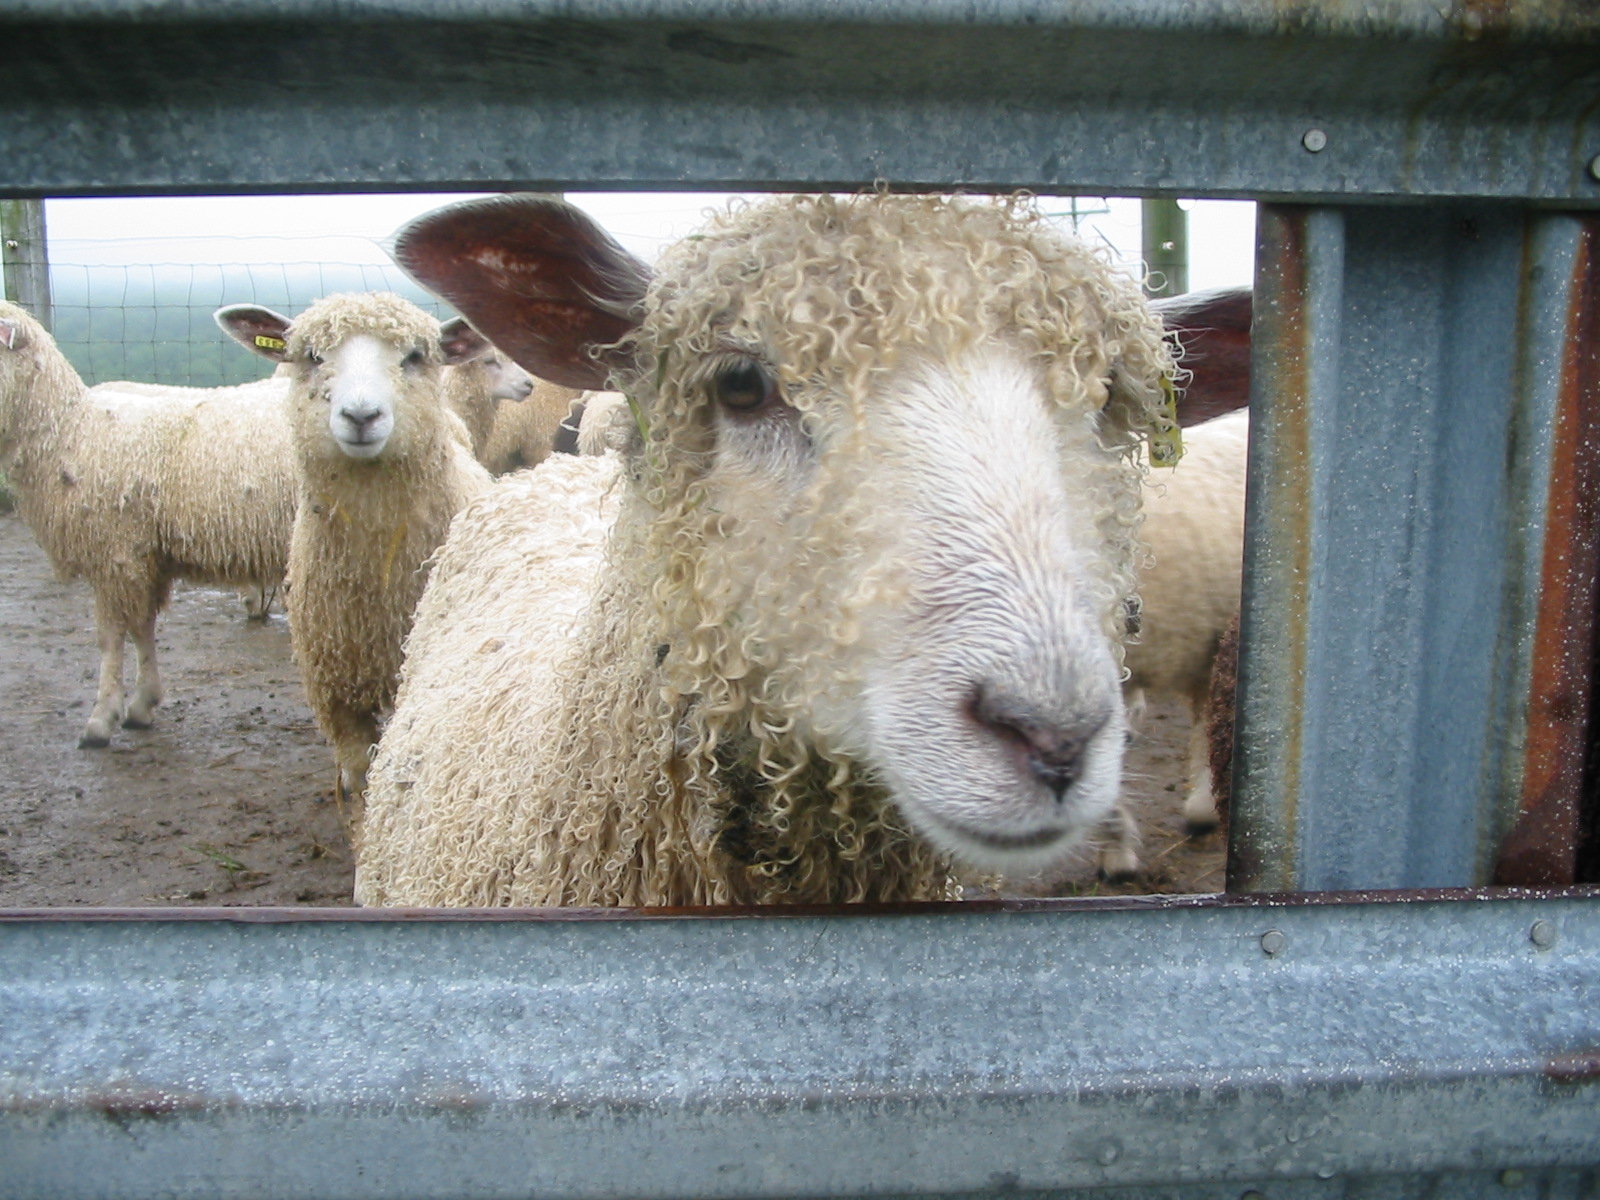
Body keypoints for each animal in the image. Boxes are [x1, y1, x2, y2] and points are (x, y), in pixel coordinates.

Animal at [0, 301, 297, 748]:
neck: (67, 430)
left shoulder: (114, 552)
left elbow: (109, 636)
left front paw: (101, 718)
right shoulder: (142, 555)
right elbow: (142, 627)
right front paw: (142, 703)